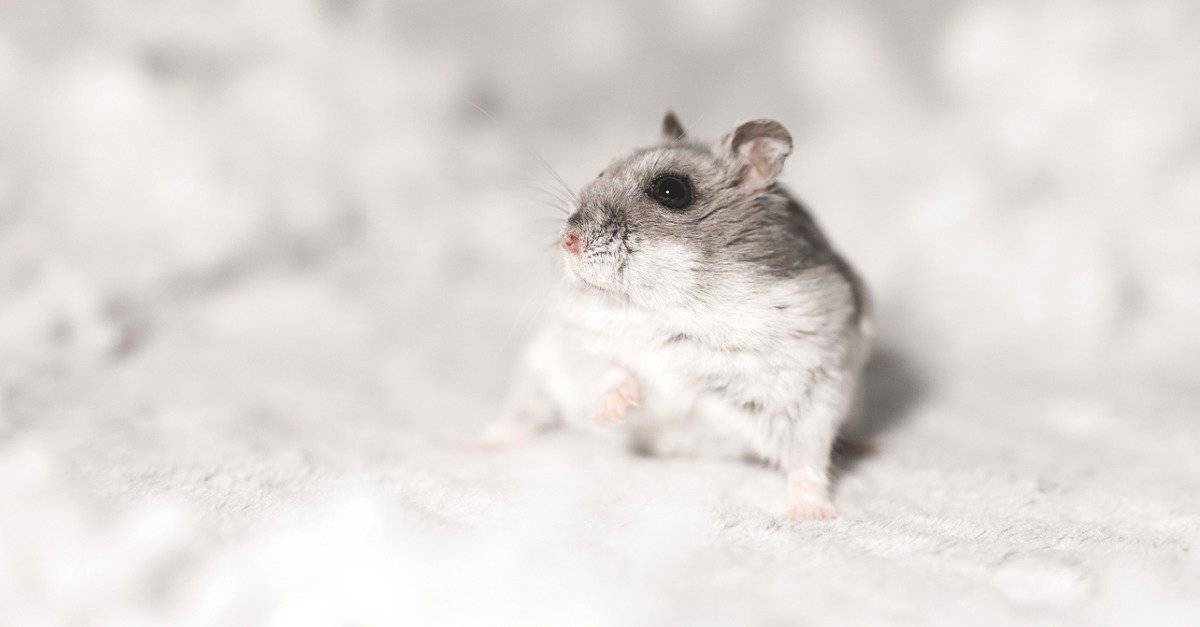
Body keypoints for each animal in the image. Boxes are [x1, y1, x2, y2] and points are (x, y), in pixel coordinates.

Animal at [486, 112, 871, 520]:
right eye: (602, 171)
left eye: (671, 190)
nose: (568, 240)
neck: (672, 303)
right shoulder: (582, 338)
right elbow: (612, 367)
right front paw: (612, 413)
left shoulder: (812, 385)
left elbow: (807, 460)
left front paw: (810, 515)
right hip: (537, 368)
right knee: (526, 410)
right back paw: (482, 442)